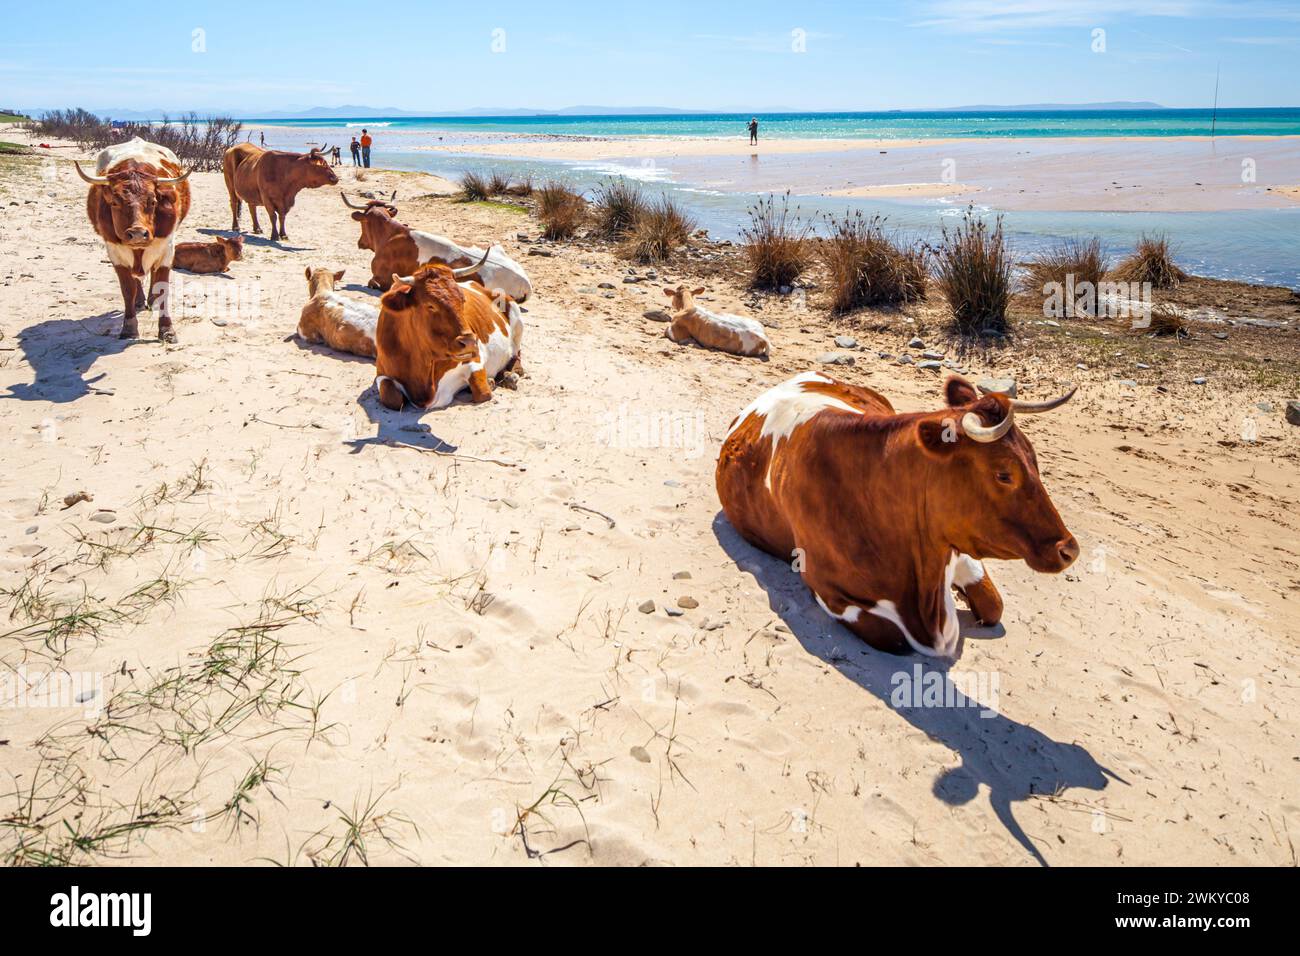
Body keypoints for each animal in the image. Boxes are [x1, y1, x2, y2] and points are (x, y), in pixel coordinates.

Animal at [76, 137, 191, 342]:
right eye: (115, 202)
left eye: (153, 201)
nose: (137, 233)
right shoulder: (115, 252)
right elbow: (127, 289)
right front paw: (129, 327)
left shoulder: (167, 248)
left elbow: (162, 288)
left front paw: (167, 330)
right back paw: (139, 301)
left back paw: (151, 300)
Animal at [374, 253, 524, 411]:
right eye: (430, 305)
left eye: (463, 300)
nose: (469, 342)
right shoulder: (382, 373)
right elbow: (392, 399)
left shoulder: (474, 361)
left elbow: (482, 392)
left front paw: (489, 382)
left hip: (516, 316)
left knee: (516, 353)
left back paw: (511, 374)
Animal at [716, 373, 1079, 658]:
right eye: (1004, 474)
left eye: (1035, 461)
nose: (1069, 549)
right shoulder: (827, 588)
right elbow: (893, 638)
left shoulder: (956, 547)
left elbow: (993, 605)